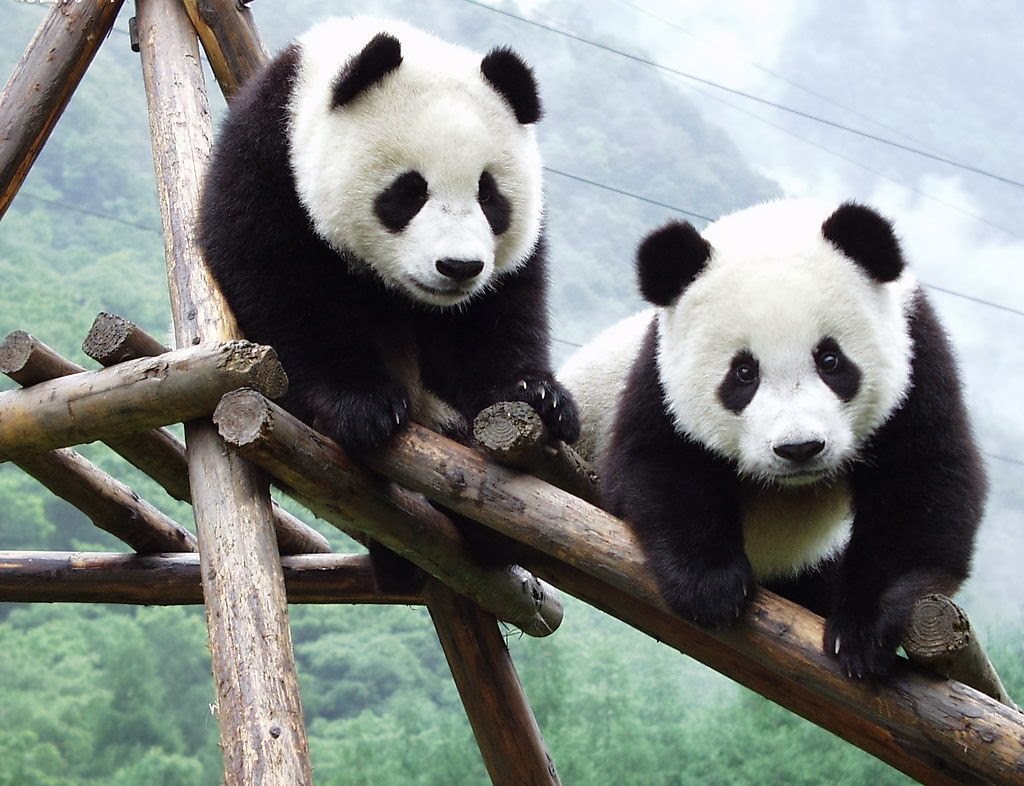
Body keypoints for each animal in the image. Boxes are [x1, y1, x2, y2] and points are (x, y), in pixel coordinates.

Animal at [197, 17, 579, 454]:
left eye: (488, 195)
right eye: (410, 192)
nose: (458, 267)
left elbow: (497, 312)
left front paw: (537, 393)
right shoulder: (268, 160)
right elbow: (282, 283)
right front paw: (362, 405)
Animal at [559, 199, 987, 677]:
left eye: (830, 360)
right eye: (744, 373)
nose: (799, 448)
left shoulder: (918, 355)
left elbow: (922, 484)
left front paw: (862, 632)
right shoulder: (660, 372)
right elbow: (656, 462)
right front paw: (710, 586)